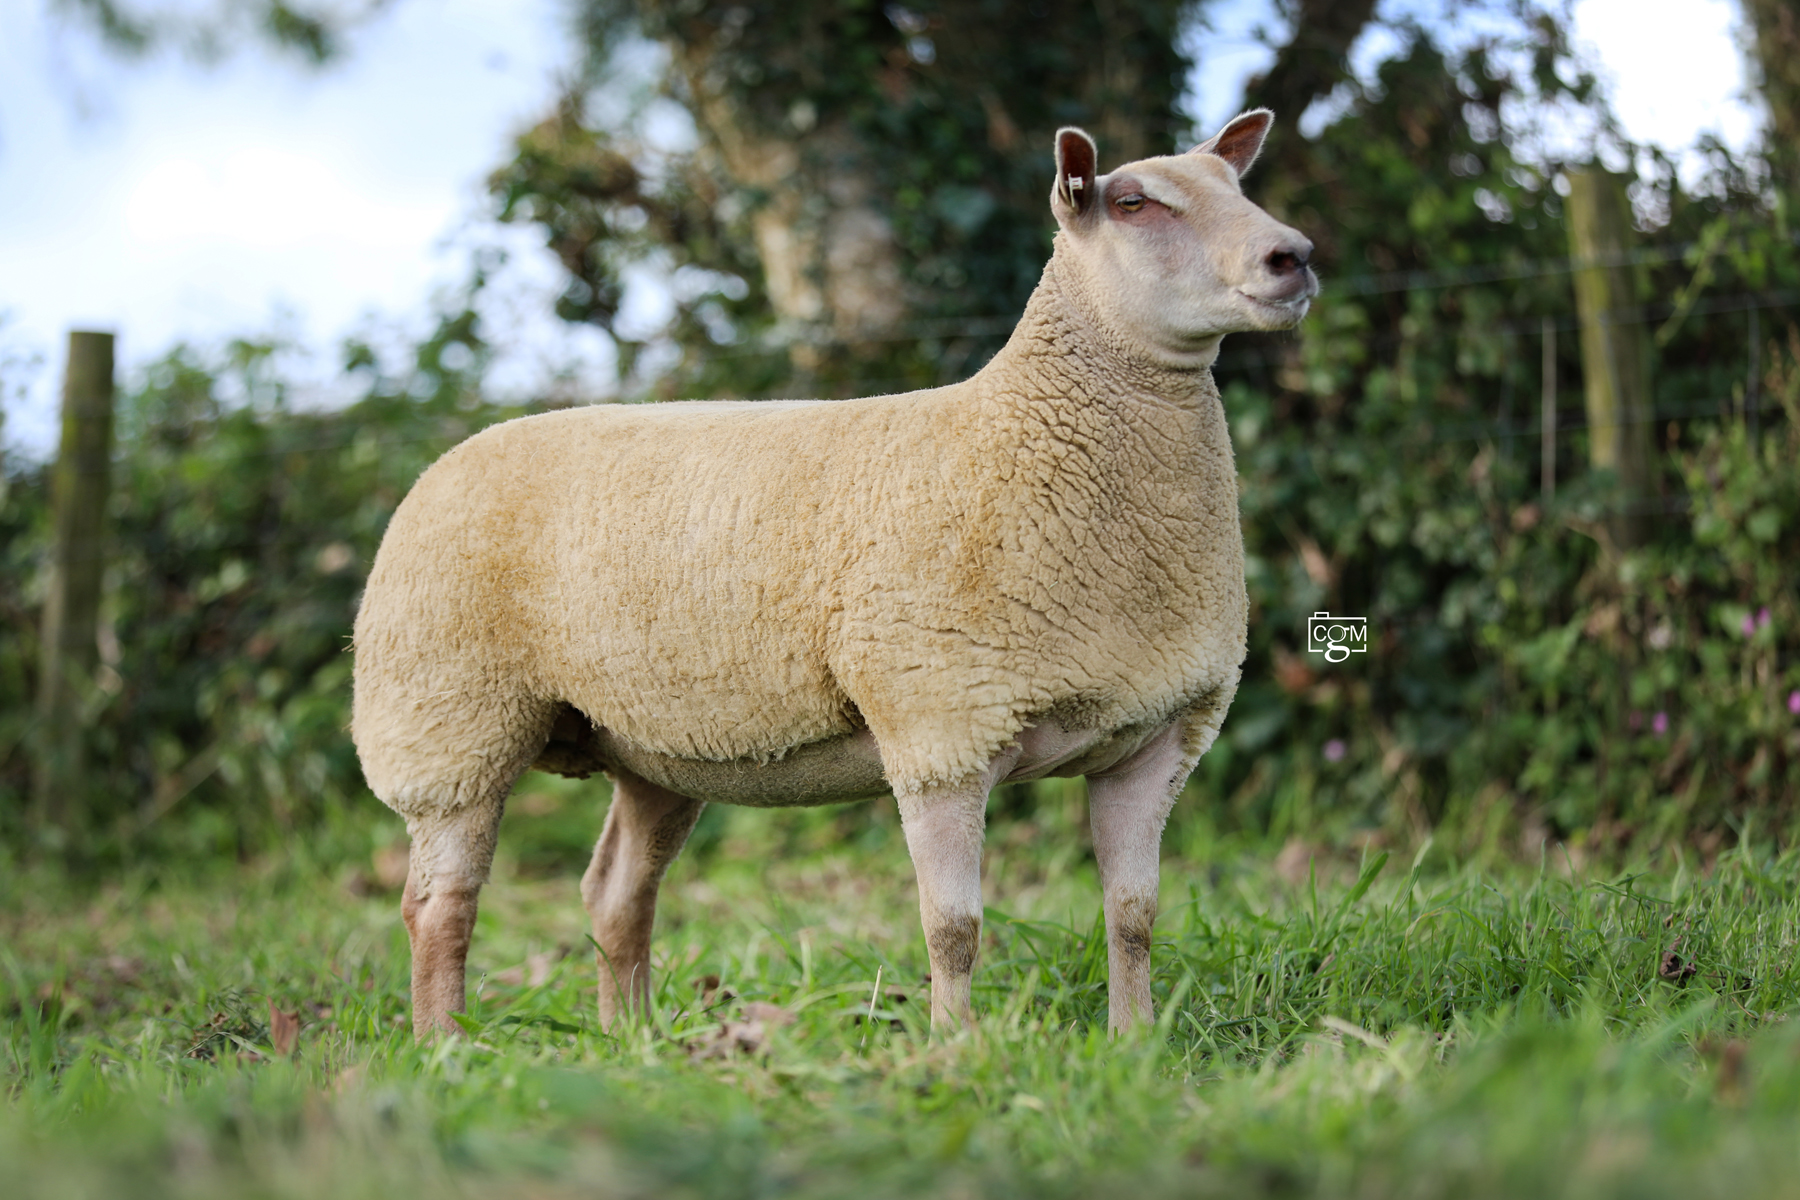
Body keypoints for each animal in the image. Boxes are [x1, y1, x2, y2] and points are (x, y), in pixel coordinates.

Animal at [352, 109, 1317, 1040]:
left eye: (1237, 186)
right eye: (1133, 203)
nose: (1294, 256)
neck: (1024, 434)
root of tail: (448, 457)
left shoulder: (1154, 734)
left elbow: (1135, 916)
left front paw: (1134, 1045)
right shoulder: (940, 727)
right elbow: (953, 928)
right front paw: (956, 1051)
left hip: (649, 740)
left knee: (615, 891)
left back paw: (634, 1042)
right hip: (448, 720)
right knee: (438, 907)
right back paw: (445, 1047)